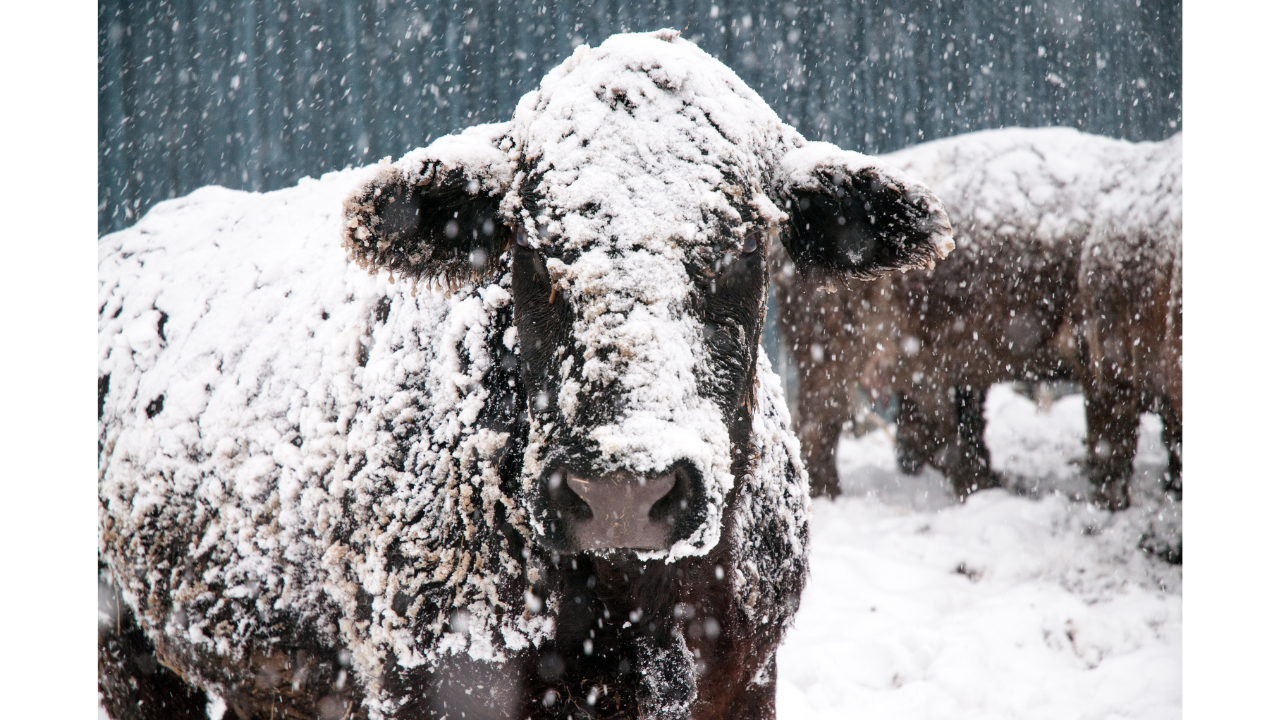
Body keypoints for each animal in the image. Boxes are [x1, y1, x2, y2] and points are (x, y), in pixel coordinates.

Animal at [775, 128, 1181, 500]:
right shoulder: (1100, 360)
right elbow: (1113, 445)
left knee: (929, 428)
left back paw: (984, 482)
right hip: (834, 352)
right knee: (822, 425)